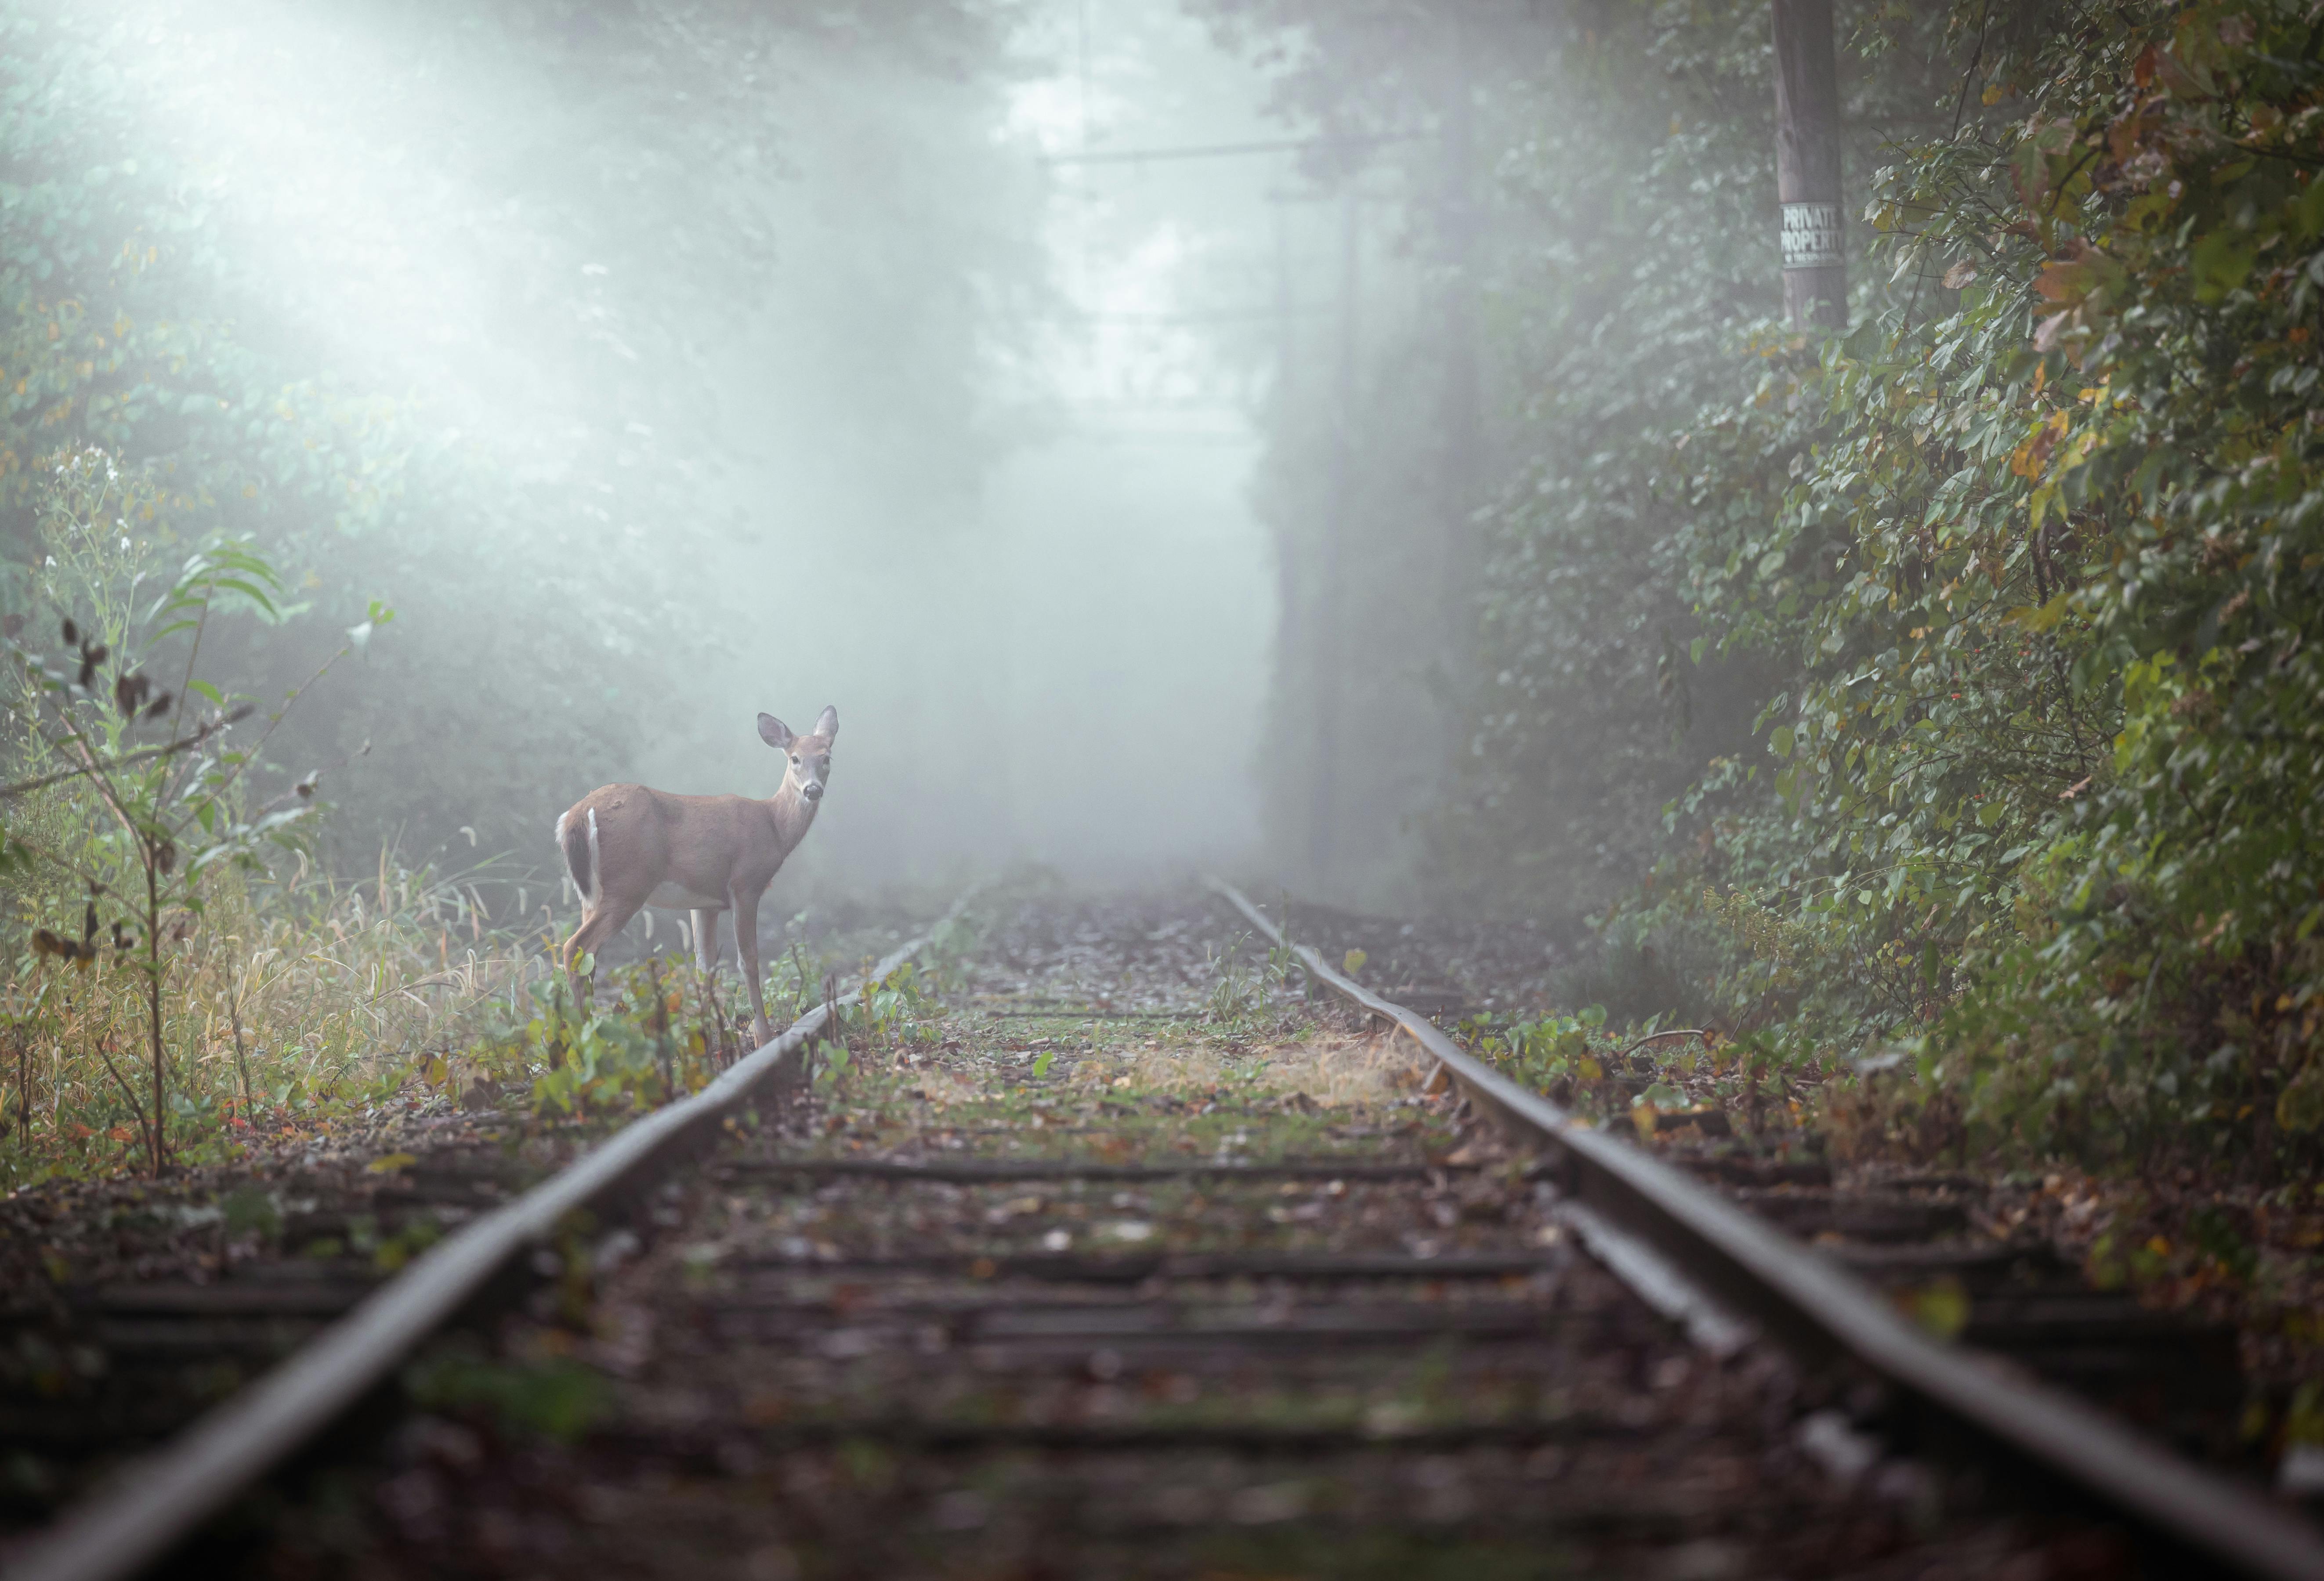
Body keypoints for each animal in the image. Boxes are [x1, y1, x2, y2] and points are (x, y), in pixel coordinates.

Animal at [554, 706, 836, 1045]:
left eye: (827, 757)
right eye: (795, 758)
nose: (813, 790)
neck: (774, 825)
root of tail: (575, 816)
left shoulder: (704, 902)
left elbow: (706, 966)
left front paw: (712, 1036)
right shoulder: (745, 883)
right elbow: (748, 961)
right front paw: (762, 1036)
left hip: (592, 894)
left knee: (588, 958)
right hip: (628, 884)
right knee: (574, 947)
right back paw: (583, 1034)